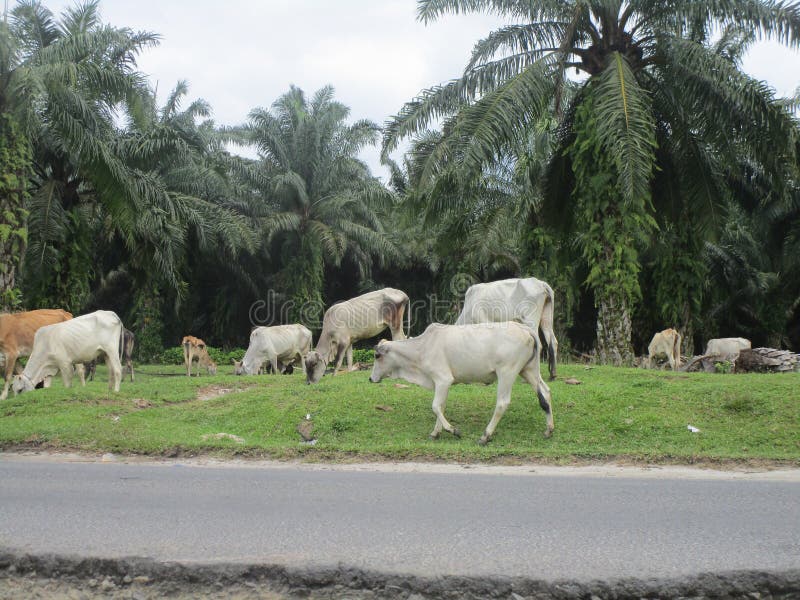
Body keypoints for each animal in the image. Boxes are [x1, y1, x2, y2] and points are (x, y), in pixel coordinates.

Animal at [369, 321, 554, 444]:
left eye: (377, 356)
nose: (371, 379)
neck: (422, 348)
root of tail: (525, 329)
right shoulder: (443, 384)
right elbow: (441, 407)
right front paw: (435, 433)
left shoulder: (443, 379)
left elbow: (435, 406)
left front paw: (453, 430)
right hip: (529, 370)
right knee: (545, 393)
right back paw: (549, 429)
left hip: (507, 373)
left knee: (502, 403)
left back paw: (485, 436)